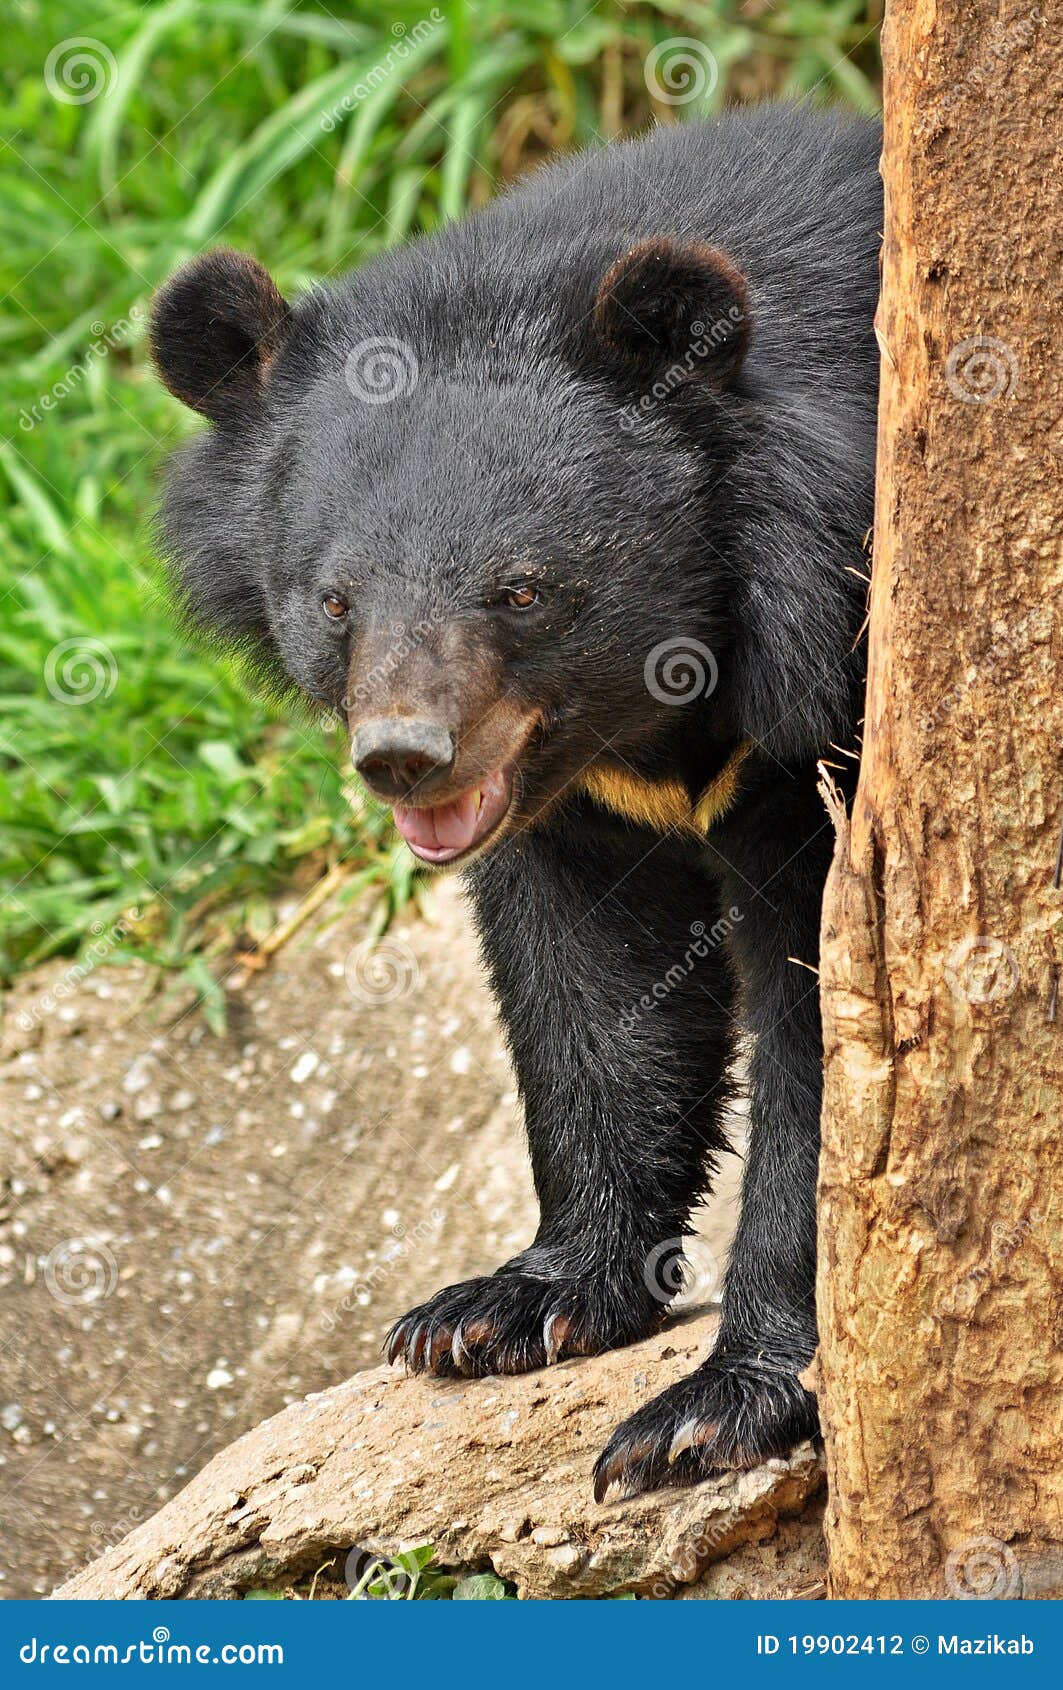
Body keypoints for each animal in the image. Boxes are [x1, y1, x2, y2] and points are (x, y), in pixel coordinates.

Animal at [150, 102, 882, 1500]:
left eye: (525, 589)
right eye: (335, 599)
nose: (404, 755)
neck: (666, 704)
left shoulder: (831, 707)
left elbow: (832, 1038)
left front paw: (710, 1411)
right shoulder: (575, 803)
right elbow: (592, 993)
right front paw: (504, 1308)